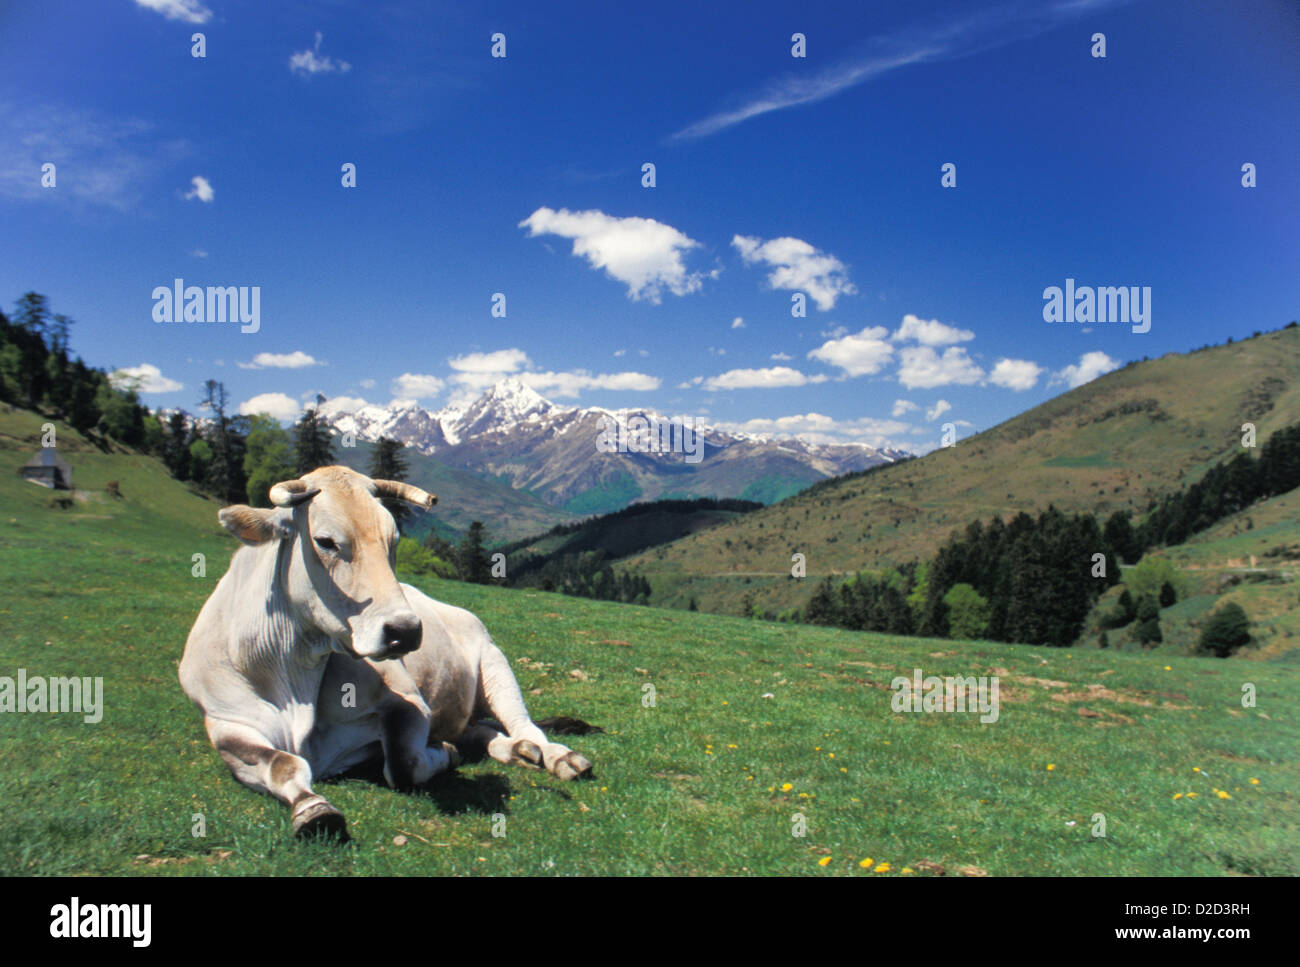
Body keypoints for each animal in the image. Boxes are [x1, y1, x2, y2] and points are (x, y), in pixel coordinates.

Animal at [179, 465, 592, 841]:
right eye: (325, 541)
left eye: (393, 540)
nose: (405, 631)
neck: (292, 672)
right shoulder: (227, 724)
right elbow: (282, 765)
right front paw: (313, 808)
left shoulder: (408, 702)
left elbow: (404, 764)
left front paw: (444, 754)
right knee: (481, 733)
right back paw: (516, 750)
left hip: (494, 664)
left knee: (524, 724)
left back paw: (557, 756)